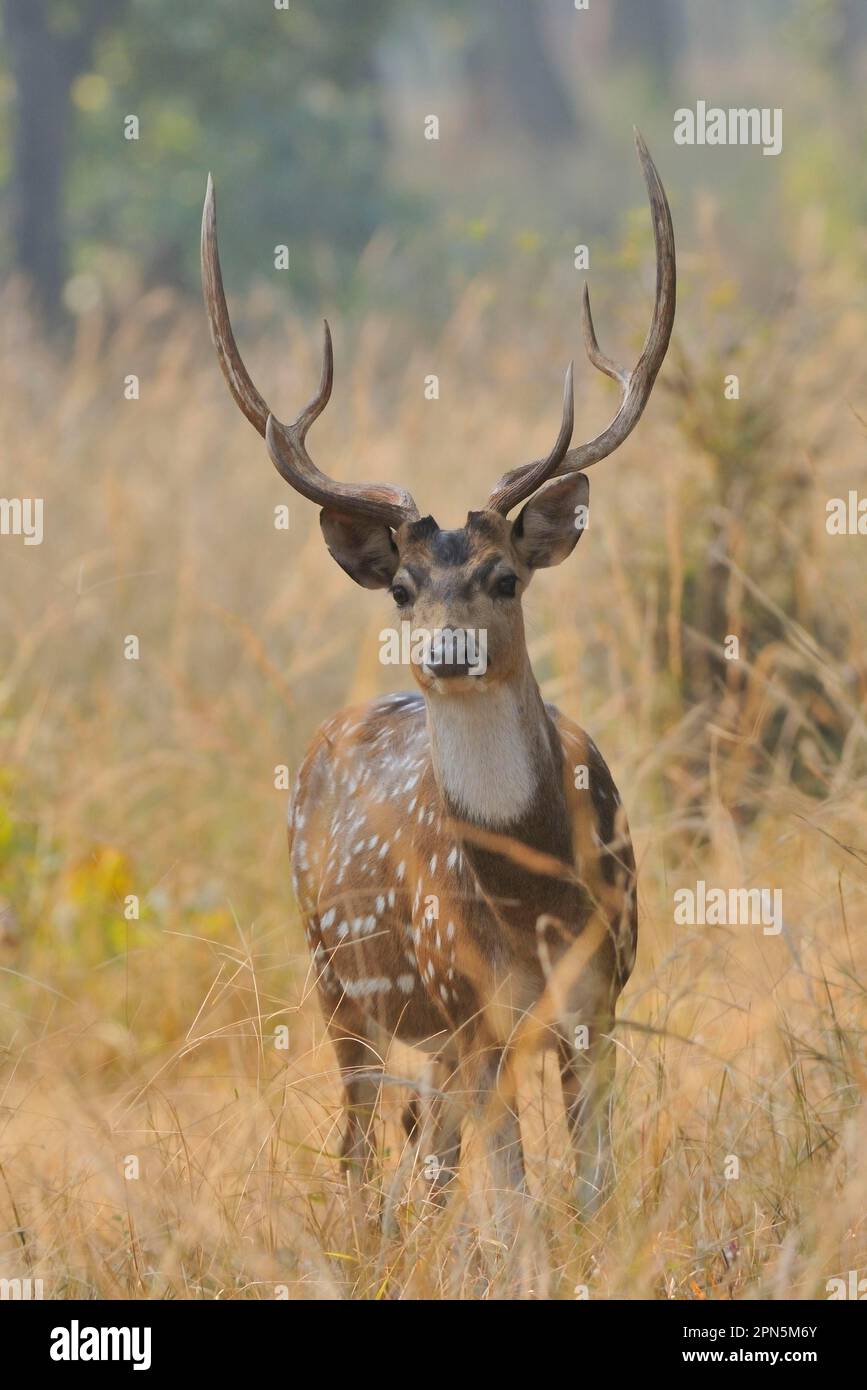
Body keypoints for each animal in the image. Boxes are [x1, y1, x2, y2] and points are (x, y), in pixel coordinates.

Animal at [201, 130, 675, 1221]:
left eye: (504, 575)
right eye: (402, 586)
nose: (445, 650)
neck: (532, 900)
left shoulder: (603, 1003)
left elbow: (588, 1195)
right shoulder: (473, 1016)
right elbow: (520, 1213)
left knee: (426, 1151)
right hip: (341, 987)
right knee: (362, 1150)